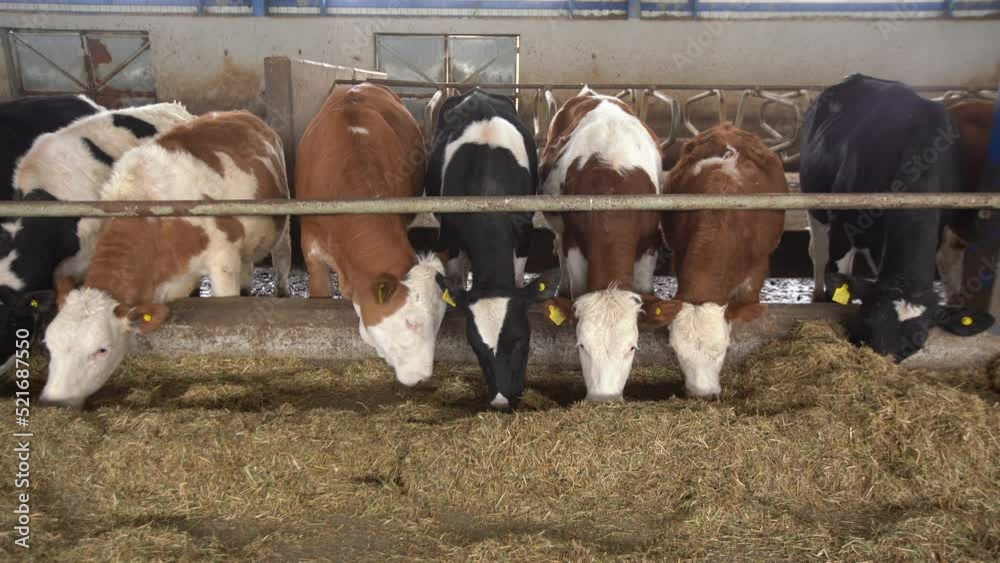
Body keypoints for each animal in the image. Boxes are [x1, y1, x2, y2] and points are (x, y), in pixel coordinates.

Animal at [40, 111, 291, 407]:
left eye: (101, 350)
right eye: (49, 345)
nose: (54, 402)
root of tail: (240, 114)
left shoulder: (223, 259)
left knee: (282, 257)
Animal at [426, 88, 560, 409]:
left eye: (521, 340)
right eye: (475, 348)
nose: (501, 399)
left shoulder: (524, 234)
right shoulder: (450, 236)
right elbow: (457, 279)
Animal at [540, 87, 670, 402]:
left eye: (632, 347)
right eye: (581, 346)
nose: (604, 399)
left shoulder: (649, 243)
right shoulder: (575, 242)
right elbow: (575, 283)